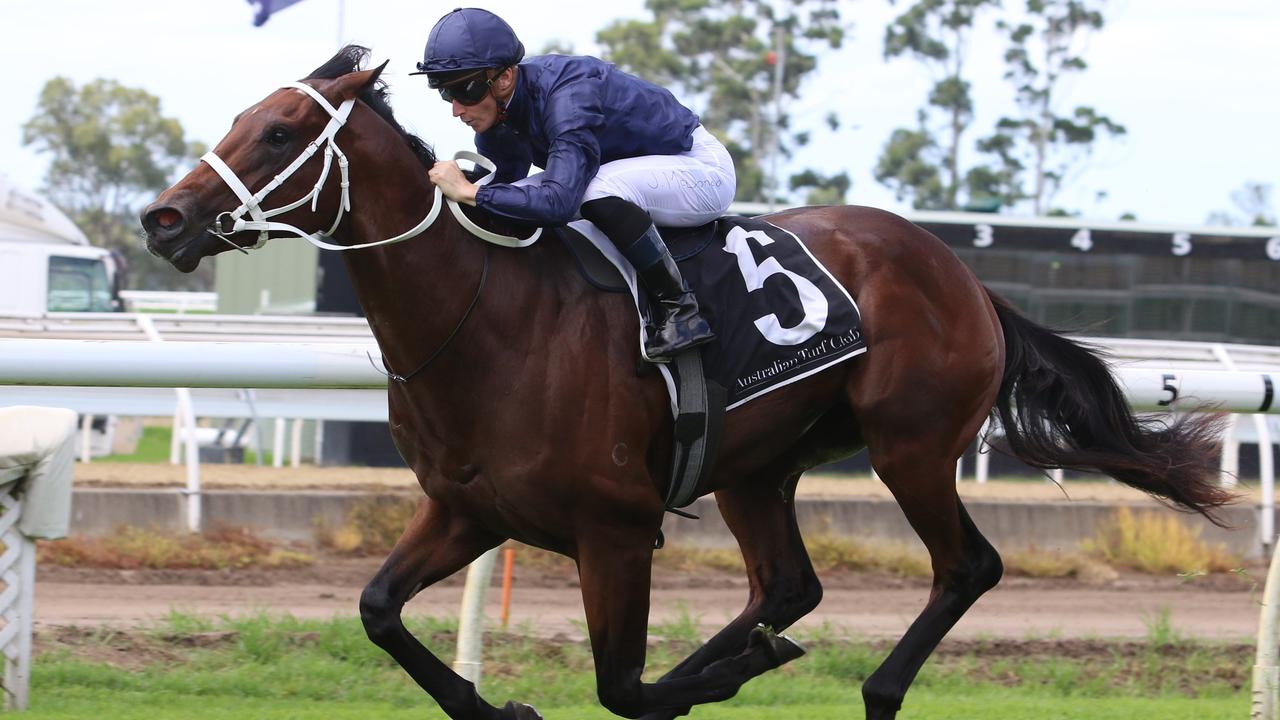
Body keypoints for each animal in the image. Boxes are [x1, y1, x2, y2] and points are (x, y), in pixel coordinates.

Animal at [141, 46, 1231, 720]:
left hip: (910, 445)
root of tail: (961, 274)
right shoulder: (467, 510)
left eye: (281, 133)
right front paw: (501, 702)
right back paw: (741, 655)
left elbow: (620, 687)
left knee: (966, 567)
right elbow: (376, 610)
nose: (163, 219)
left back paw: (857, 686)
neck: (485, 322)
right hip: (756, 467)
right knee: (787, 586)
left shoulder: (615, 530)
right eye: (240, 118)